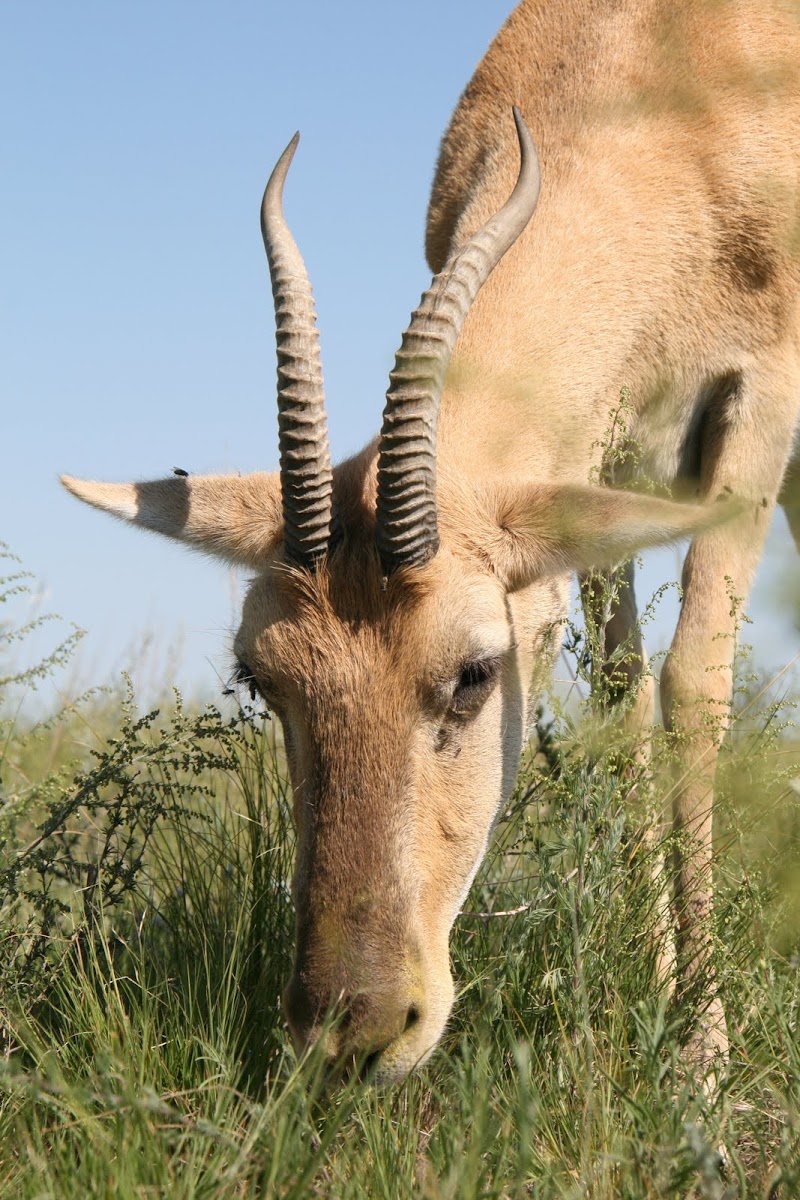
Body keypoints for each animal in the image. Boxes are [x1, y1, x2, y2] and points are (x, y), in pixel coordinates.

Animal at [62, 0, 800, 1081]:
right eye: (262, 677)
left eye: (472, 674)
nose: (354, 1028)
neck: (659, 65)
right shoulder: (602, 462)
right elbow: (622, 700)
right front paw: (659, 999)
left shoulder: (757, 406)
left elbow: (692, 686)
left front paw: (702, 1055)